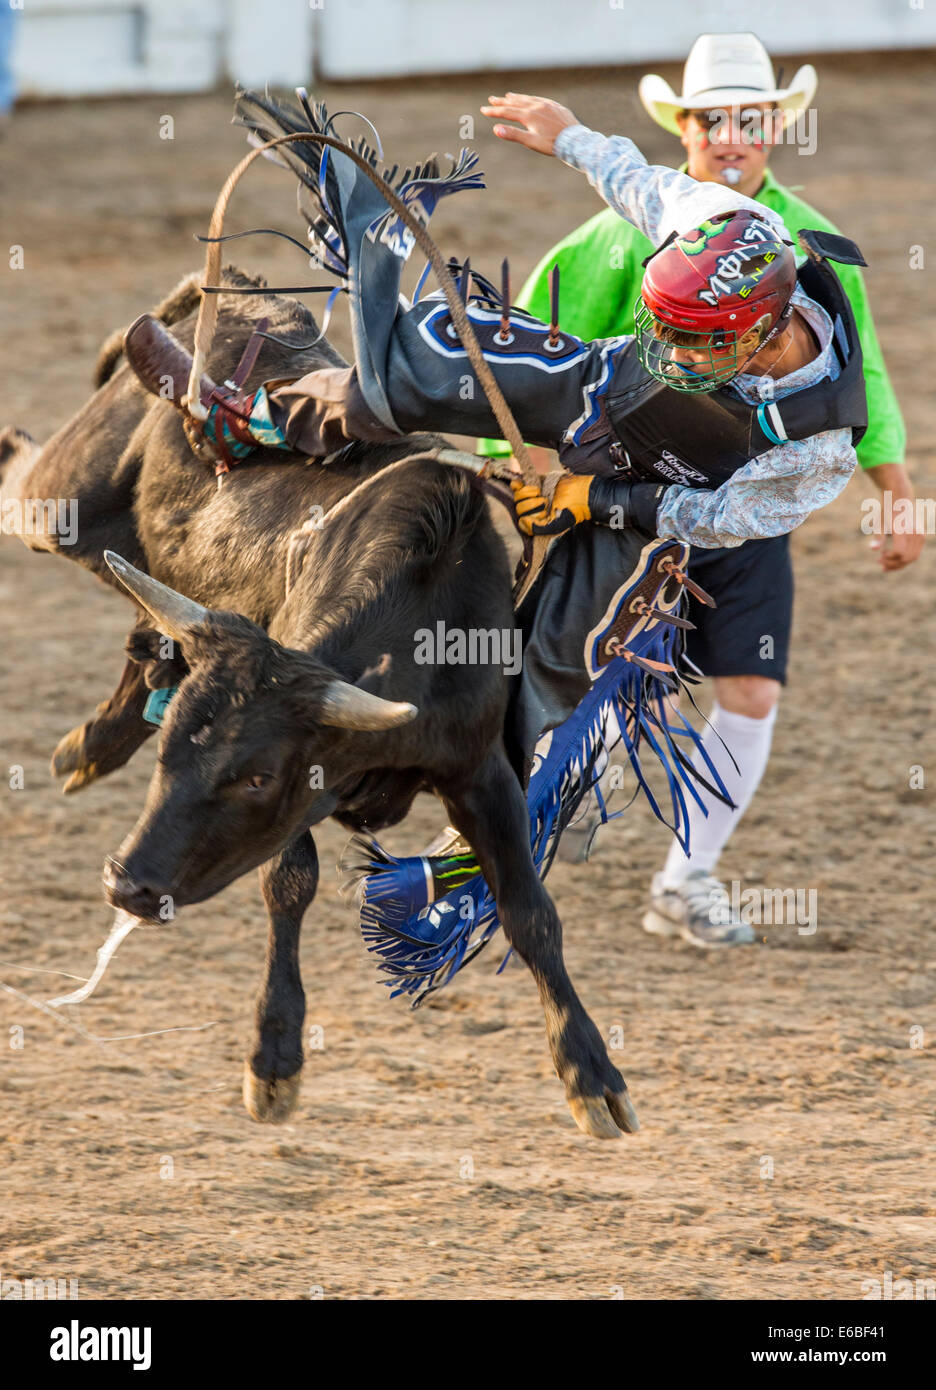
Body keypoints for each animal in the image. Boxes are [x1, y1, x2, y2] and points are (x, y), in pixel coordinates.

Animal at [2, 269, 638, 1140]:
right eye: (175, 758)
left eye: (256, 777)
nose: (124, 885)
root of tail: (228, 290)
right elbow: (289, 884)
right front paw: (274, 1059)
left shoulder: (478, 770)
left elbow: (527, 908)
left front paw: (590, 1073)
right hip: (58, 499)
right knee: (25, 473)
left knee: (146, 631)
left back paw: (91, 745)